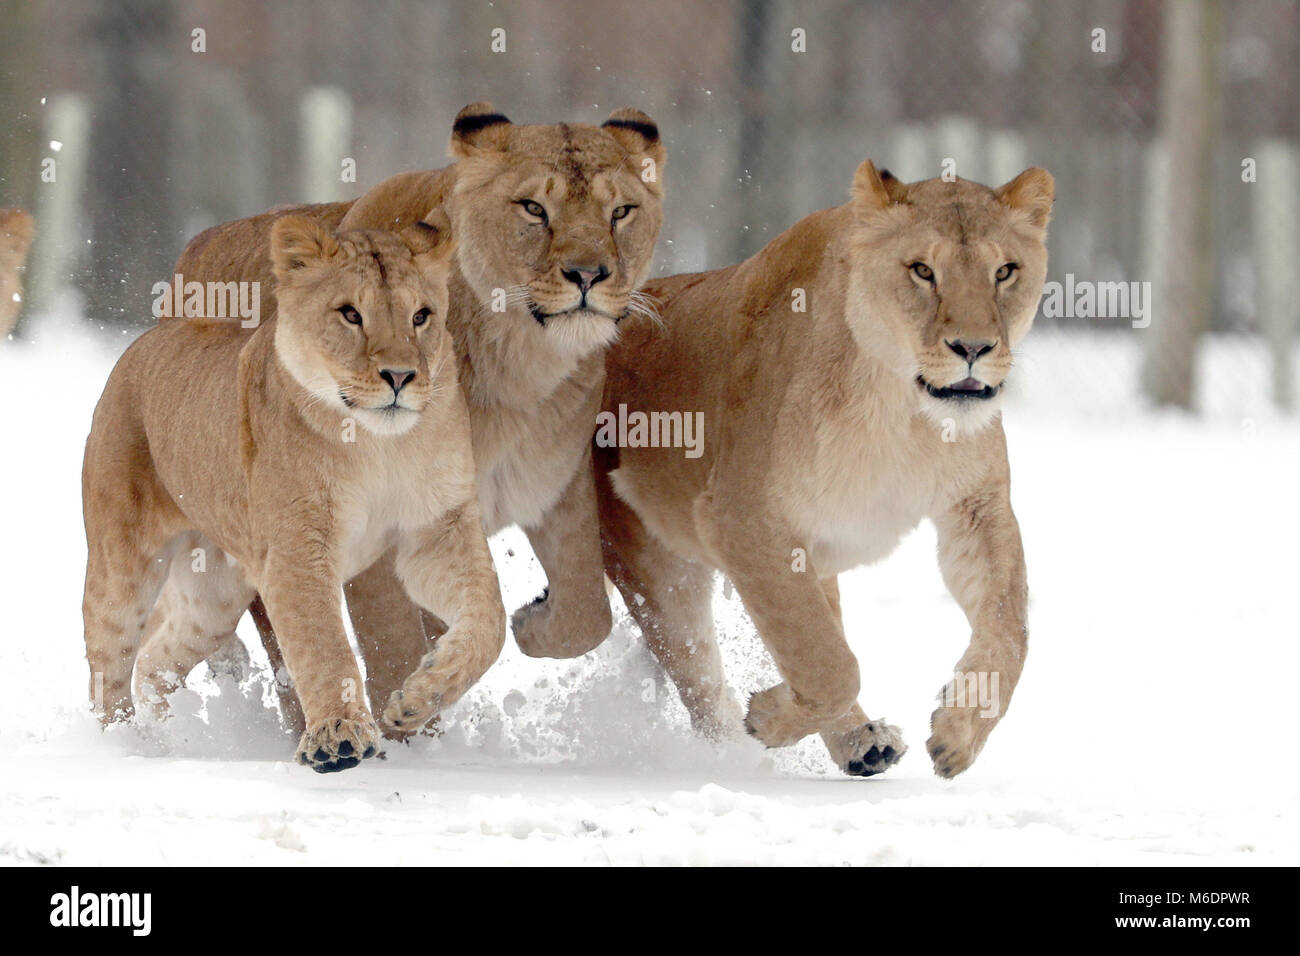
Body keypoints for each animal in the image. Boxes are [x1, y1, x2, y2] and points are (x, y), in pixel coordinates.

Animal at [83, 214, 507, 772]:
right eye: (350, 314)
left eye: (421, 316)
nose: (400, 376)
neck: (378, 445)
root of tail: (139, 344)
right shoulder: (298, 548)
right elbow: (323, 644)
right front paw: (339, 737)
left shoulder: (438, 530)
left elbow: (490, 620)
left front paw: (419, 697)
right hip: (121, 570)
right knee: (107, 671)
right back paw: (122, 748)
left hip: (213, 599)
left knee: (156, 660)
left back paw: (166, 739)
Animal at [147, 103, 666, 734]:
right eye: (534, 208)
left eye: (621, 212)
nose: (589, 275)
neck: (517, 366)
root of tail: (194, 246)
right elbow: (390, 642)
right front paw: (409, 727)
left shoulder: (552, 489)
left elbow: (587, 613)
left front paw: (529, 622)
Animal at [593, 161, 1053, 778]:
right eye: (922, 271)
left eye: (1004, 271)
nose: (974, 348)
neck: (902, 409)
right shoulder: (742, 518)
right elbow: (827, 663)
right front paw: (768, 719)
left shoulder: (978, 506)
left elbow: (1010, 626)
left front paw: (960, 732)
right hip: (660, 567)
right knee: (705, 690)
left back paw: (865, 742)